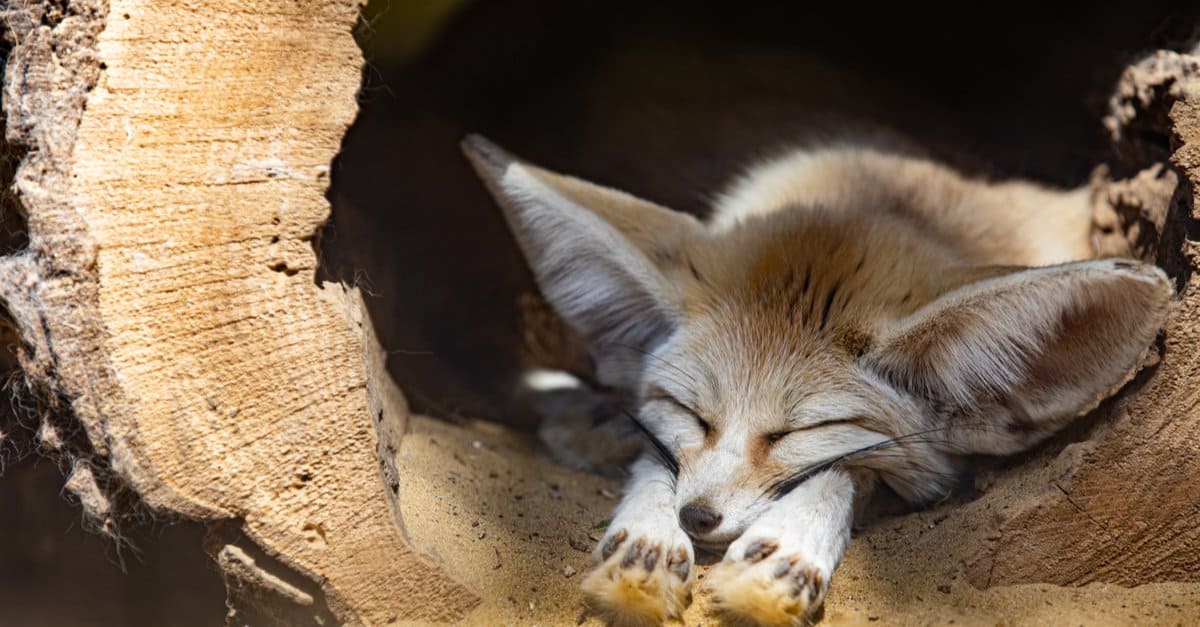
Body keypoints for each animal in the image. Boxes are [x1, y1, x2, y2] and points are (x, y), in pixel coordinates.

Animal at [461, 133, 1172, 626]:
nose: (697, 517)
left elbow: (847, 470)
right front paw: (646, 541)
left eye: (795, 432)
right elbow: (655, 453)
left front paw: (783, 557)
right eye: (695, 414)